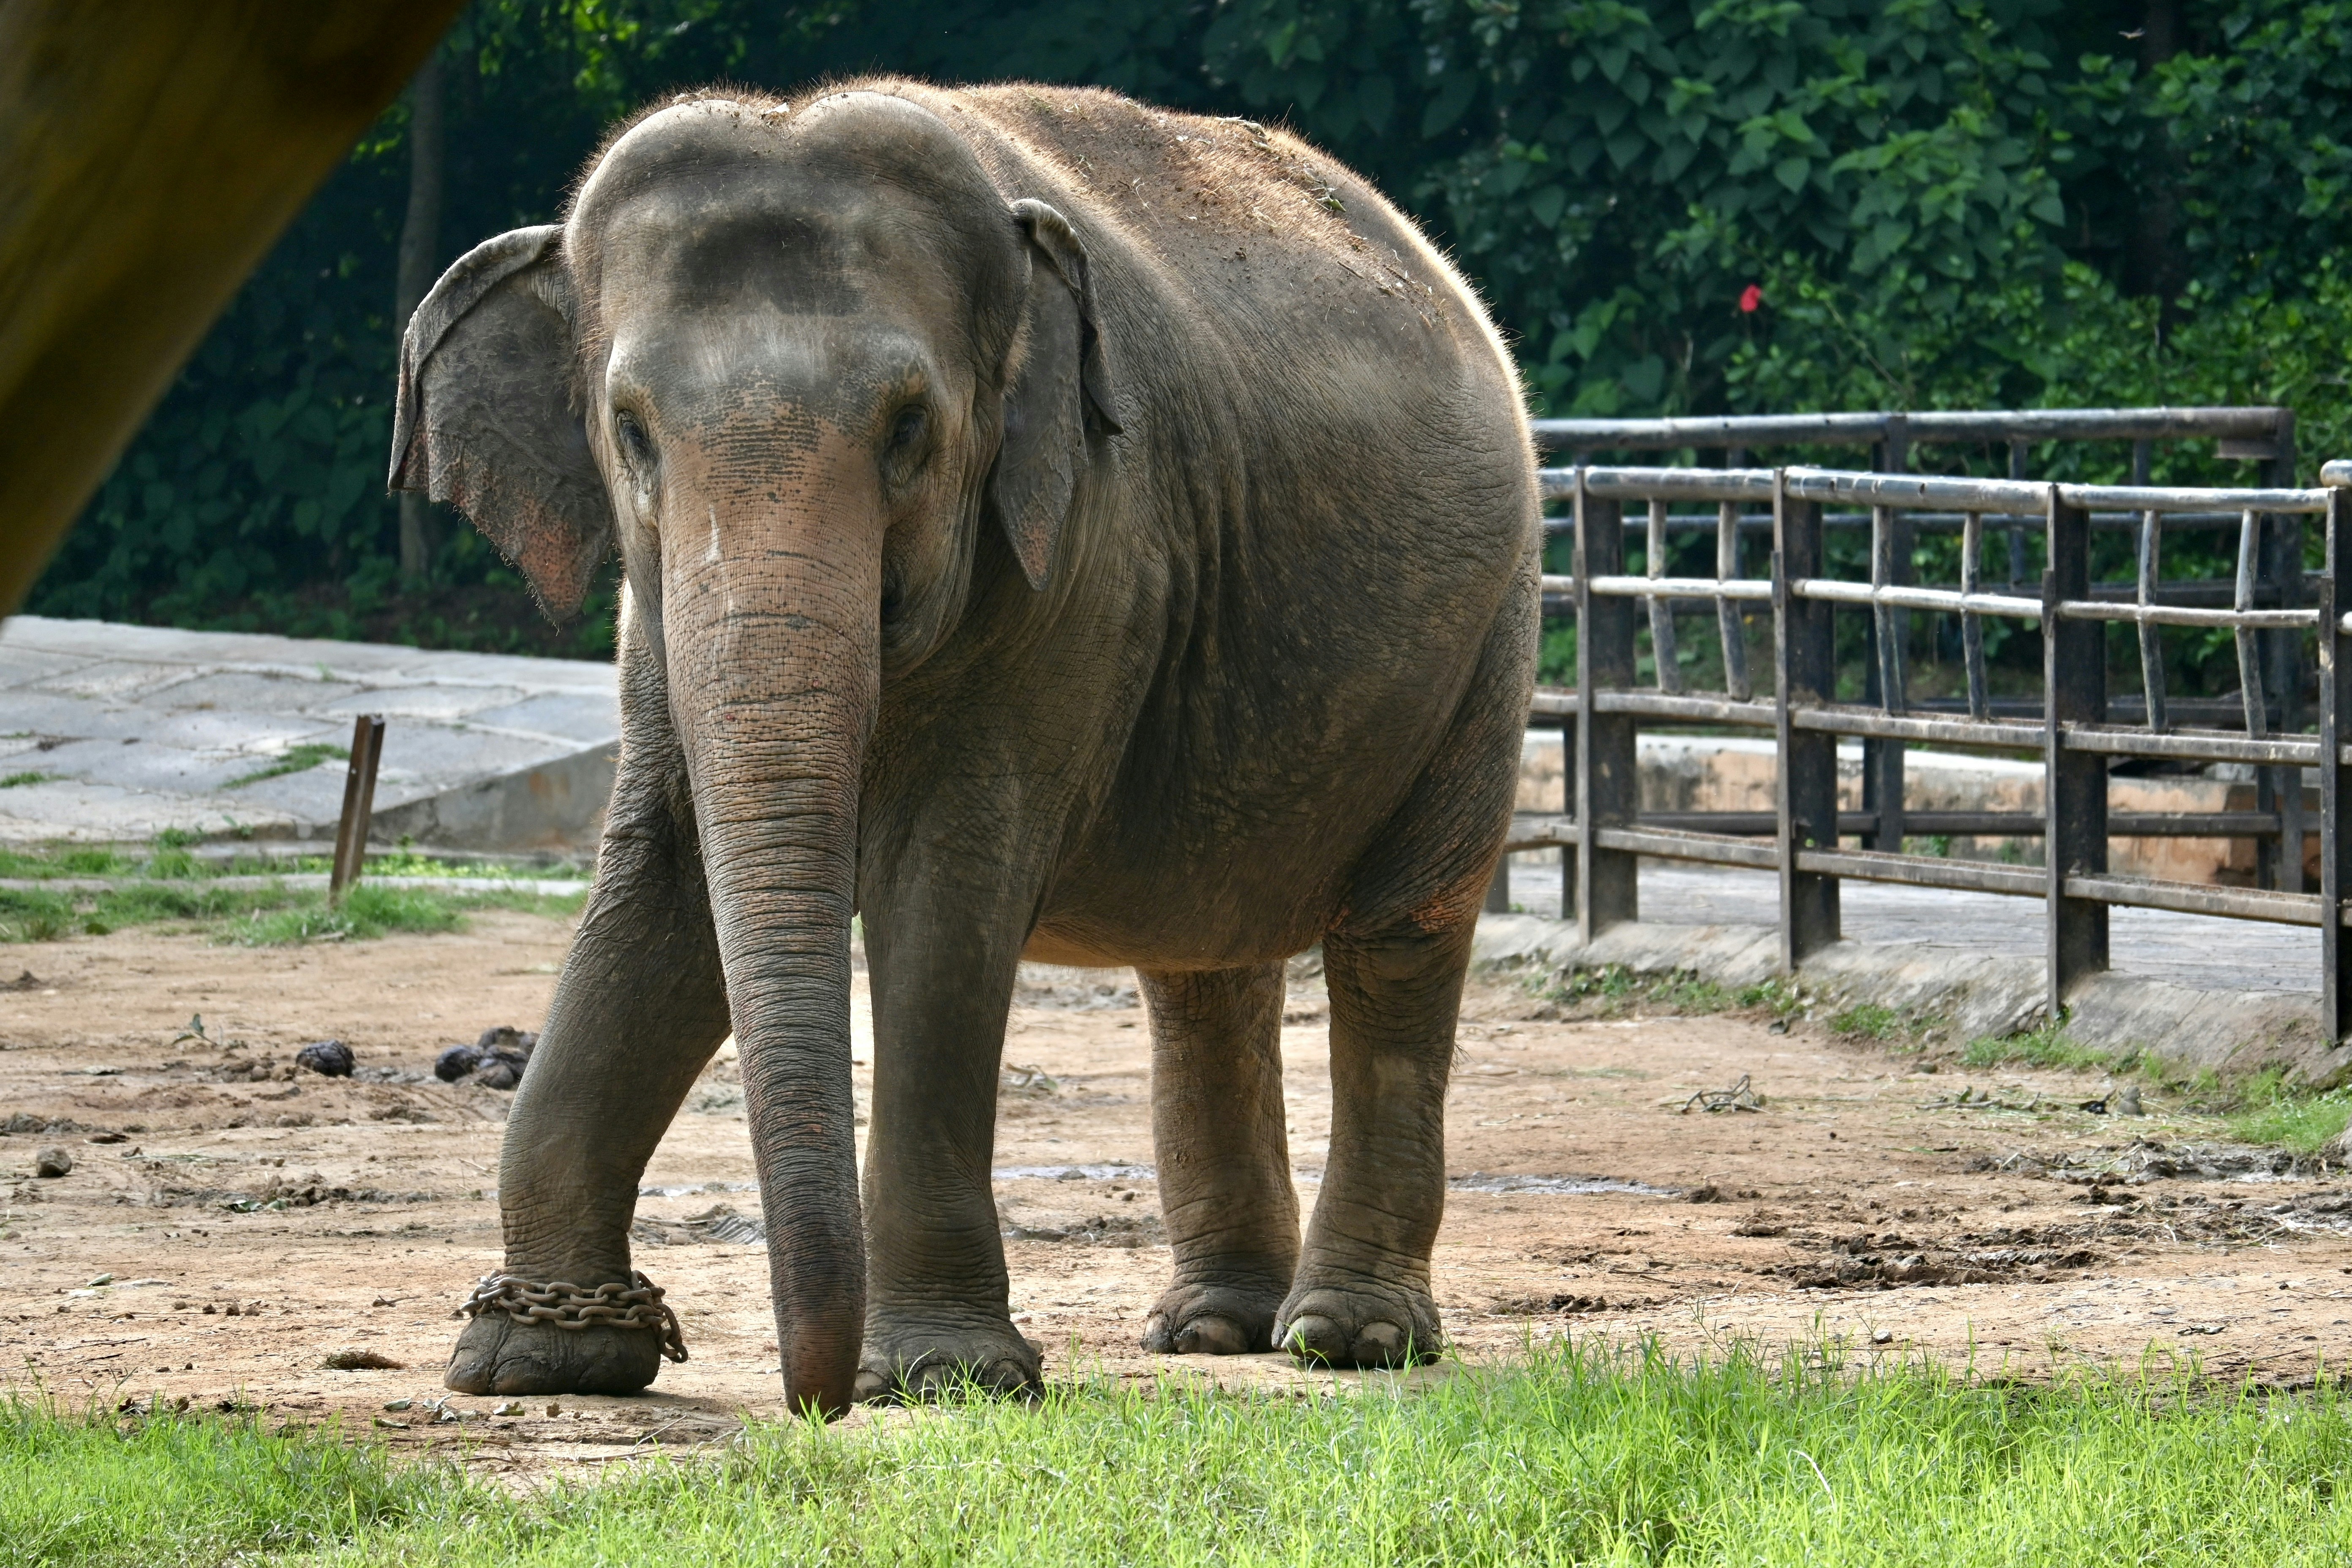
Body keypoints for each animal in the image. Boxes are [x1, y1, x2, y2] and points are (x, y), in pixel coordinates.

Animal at [390, 79, 1537, 1415]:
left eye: (908, 430)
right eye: (629, 431)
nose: (811, 1402)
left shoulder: (1087, 551)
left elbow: (946, 897)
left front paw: (943, 1377)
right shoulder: (659, 614)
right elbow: (664, 887)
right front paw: (538, 1360)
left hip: (1490, 632)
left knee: (1398, 944)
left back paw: (1348, 1340)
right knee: (1203, 966)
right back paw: (1211, 1330)